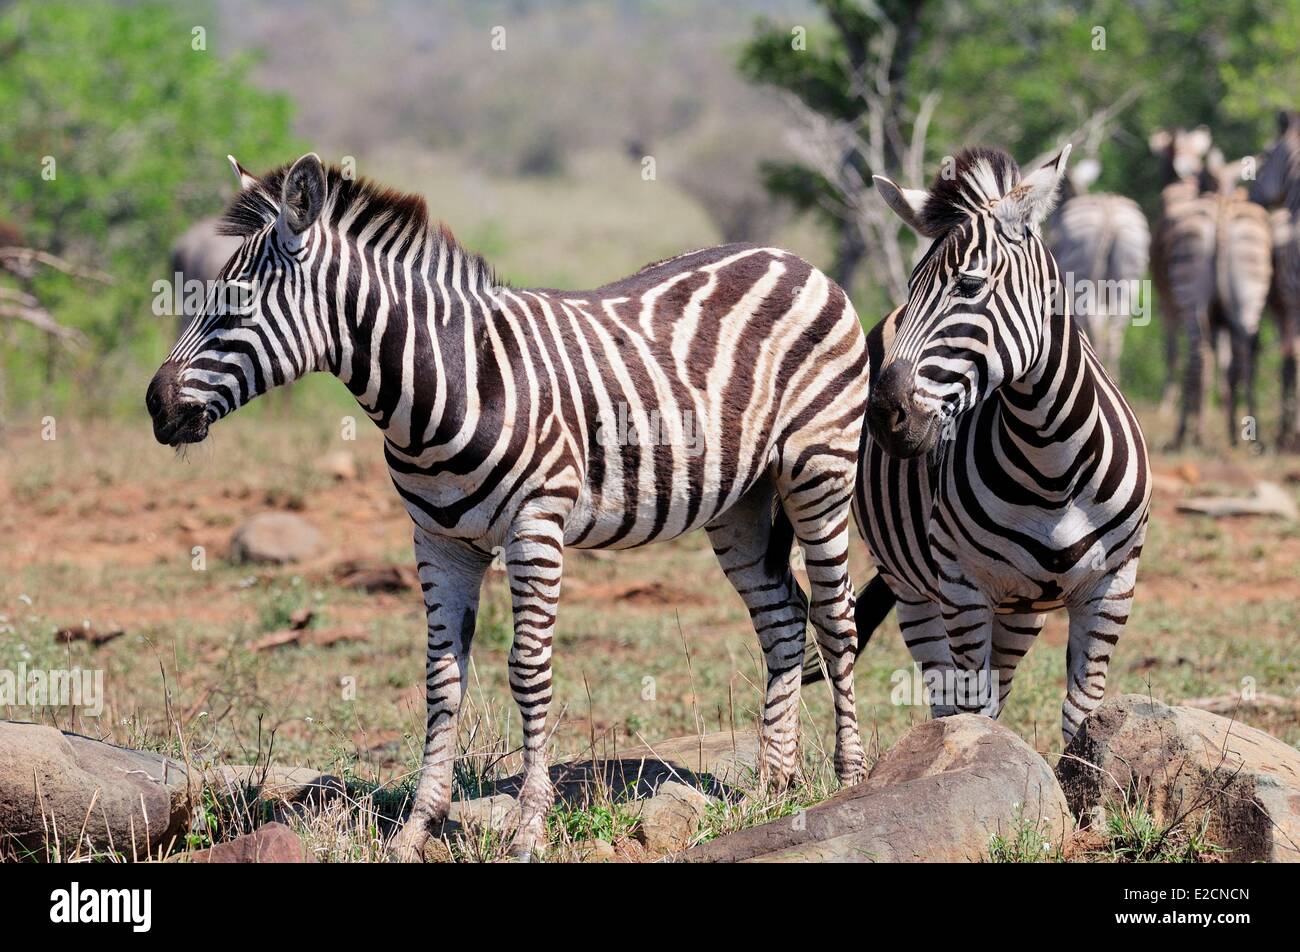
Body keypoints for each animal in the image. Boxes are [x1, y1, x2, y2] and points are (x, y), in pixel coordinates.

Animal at [145, 152, 871, 860]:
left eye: (235, 304)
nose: (156, 405)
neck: (441, 387)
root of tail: (793, 259)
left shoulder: (535, 526)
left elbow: (527, 670)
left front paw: (528, 829)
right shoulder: (436, 541)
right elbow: (441, 677)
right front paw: (417, 829)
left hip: (819, 471)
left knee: (835, 618)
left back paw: (851, 780)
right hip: (741, 503)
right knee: (782, 618)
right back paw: (771, 788)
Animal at [1047, 159, 1151, 381]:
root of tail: (1108, 220)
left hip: (1082, 278)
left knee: (1095, 324)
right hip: (1127, 280)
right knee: (1114, 332)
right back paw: (1112, 375)